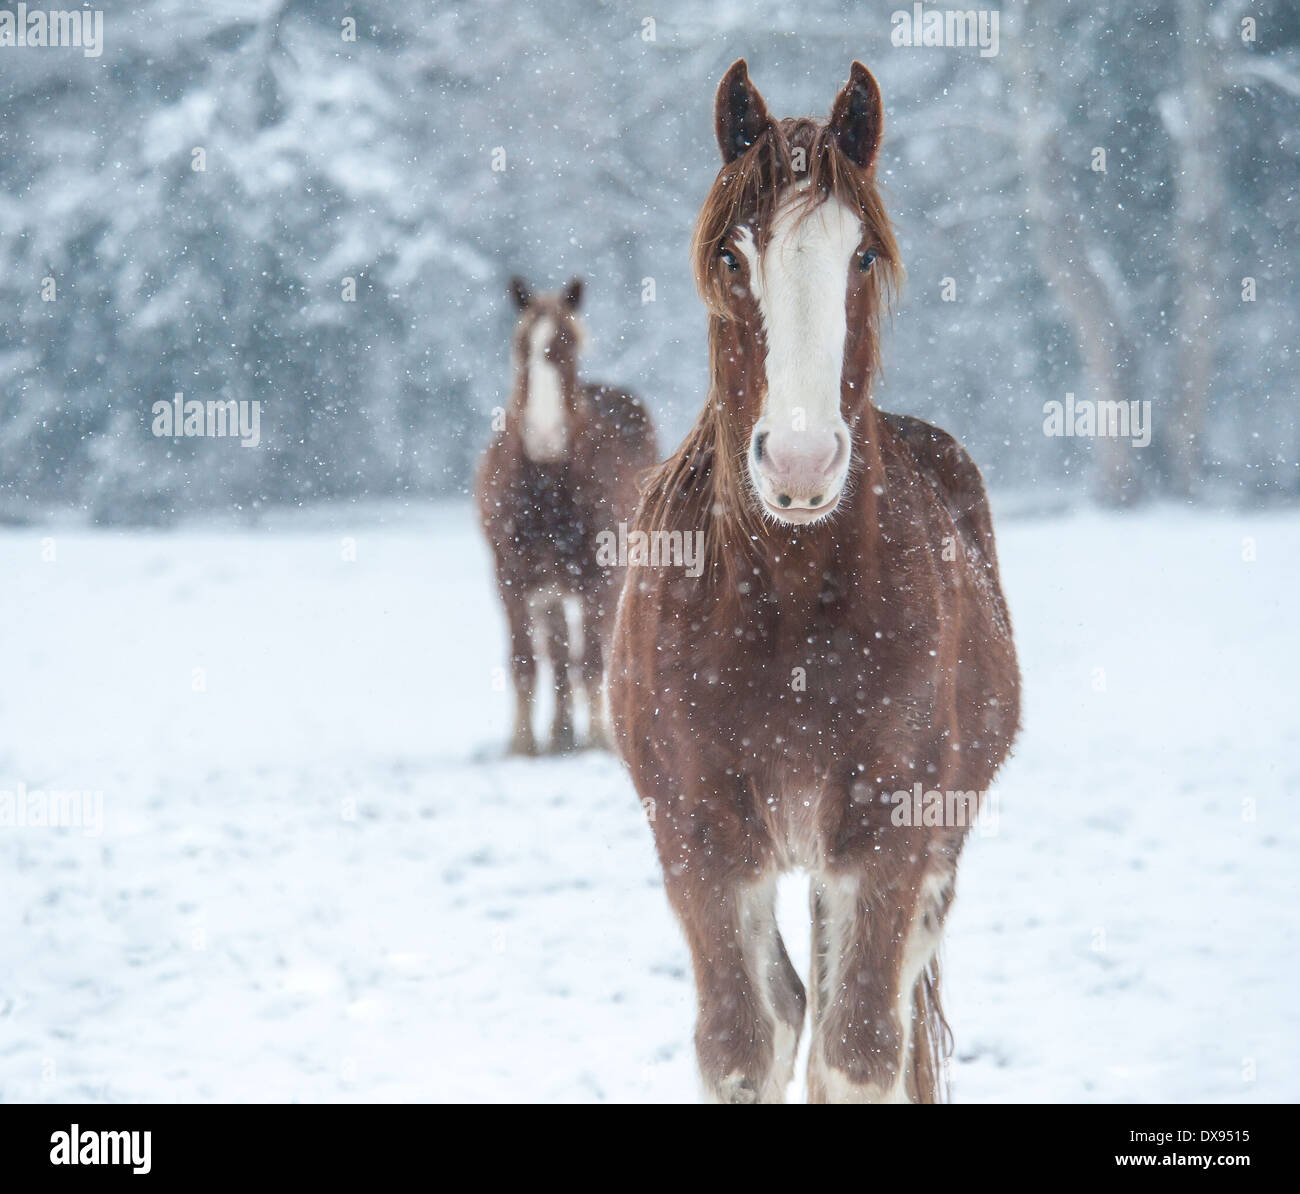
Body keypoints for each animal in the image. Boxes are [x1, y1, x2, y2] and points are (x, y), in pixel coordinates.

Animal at [477, 276, 658, 755]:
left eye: (568, 347)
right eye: (520, 346)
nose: (544, 436)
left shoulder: (600, 577)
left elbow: (591, 659)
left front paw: (597, 738)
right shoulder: (511, 576)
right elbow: (524, 660)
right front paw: (522, 745)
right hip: (550, 586)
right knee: (557, 655)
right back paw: (558, 734)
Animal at [608, 60, 1020, 1103]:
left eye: (862, 255)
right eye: (732, 256)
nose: (799, 462)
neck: (789, 600)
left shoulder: (889, 836)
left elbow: (859, 1049)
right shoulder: (699, 835)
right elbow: (744, 1040)